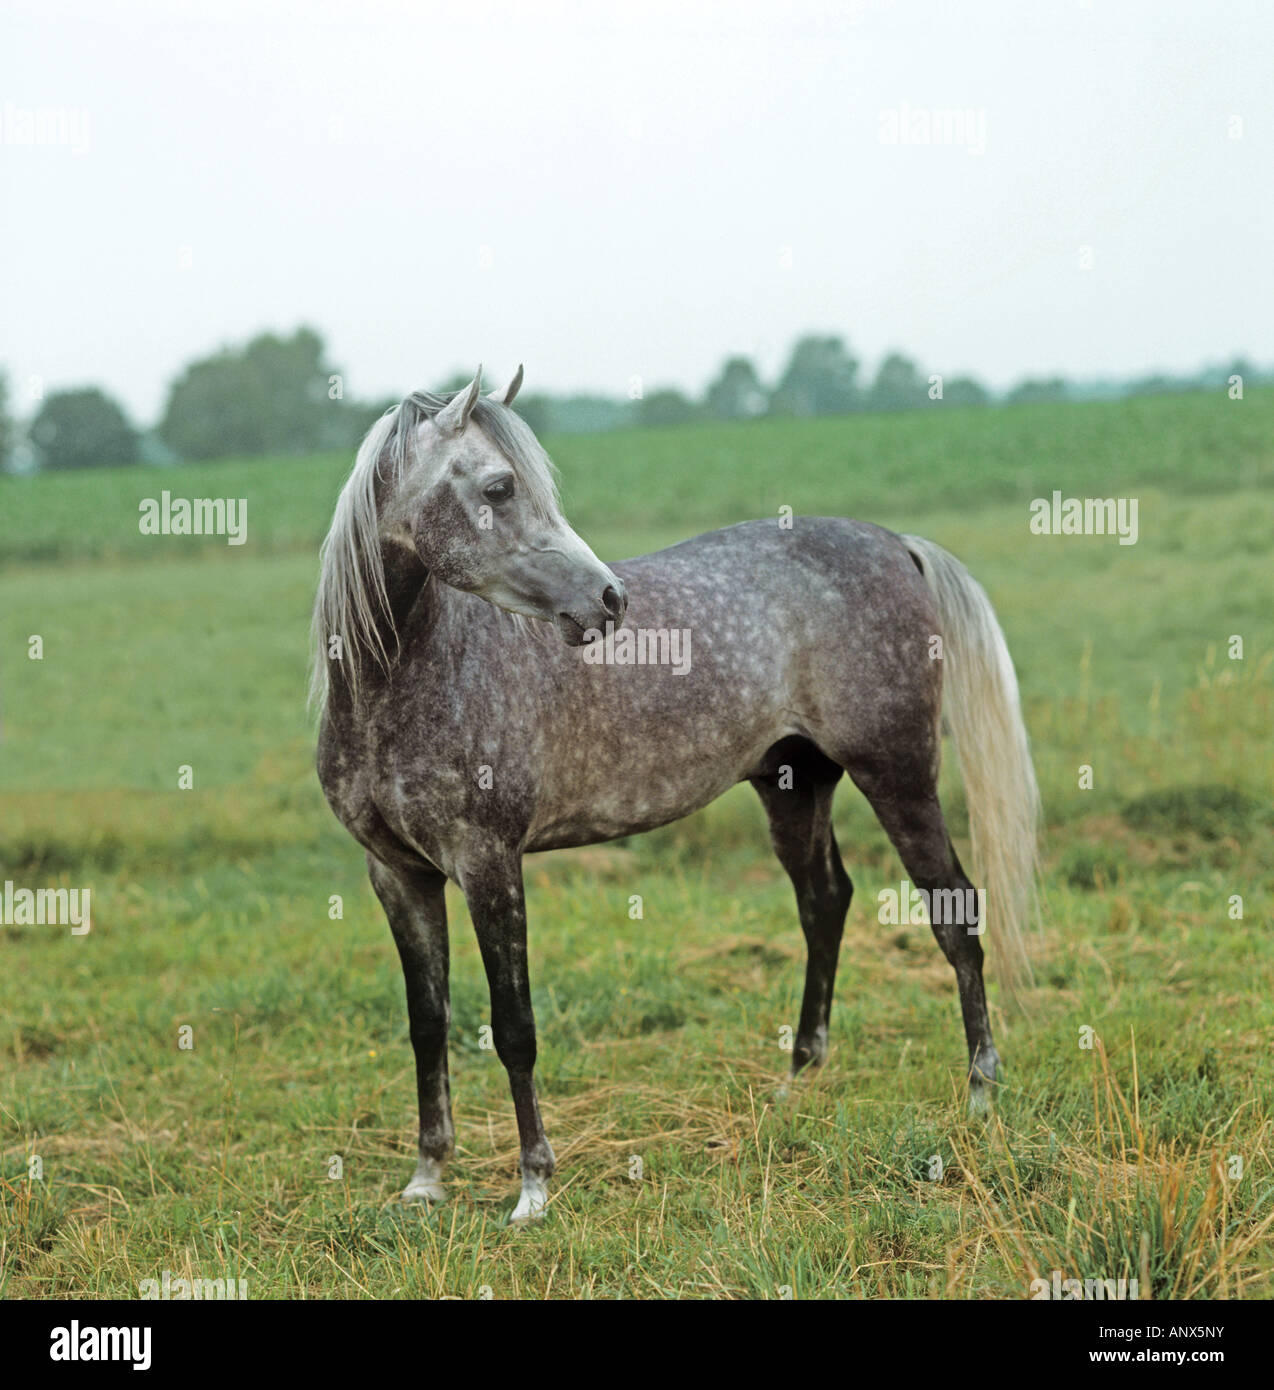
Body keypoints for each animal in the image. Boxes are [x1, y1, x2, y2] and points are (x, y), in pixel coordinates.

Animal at [312, 366, 1040, 1223]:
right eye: (497, 487)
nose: (608, 599)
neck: (397, 686)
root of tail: (897, 544)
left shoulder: (489, 864)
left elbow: (513, 1027)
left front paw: (533, 1188)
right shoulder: (398, 874)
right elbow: (427, 1022)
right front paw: (426, 1177)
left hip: (897, 774)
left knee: (954, 912)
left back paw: (980, 1096)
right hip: (794, 785)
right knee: (825, 904)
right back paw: (796, 1085)